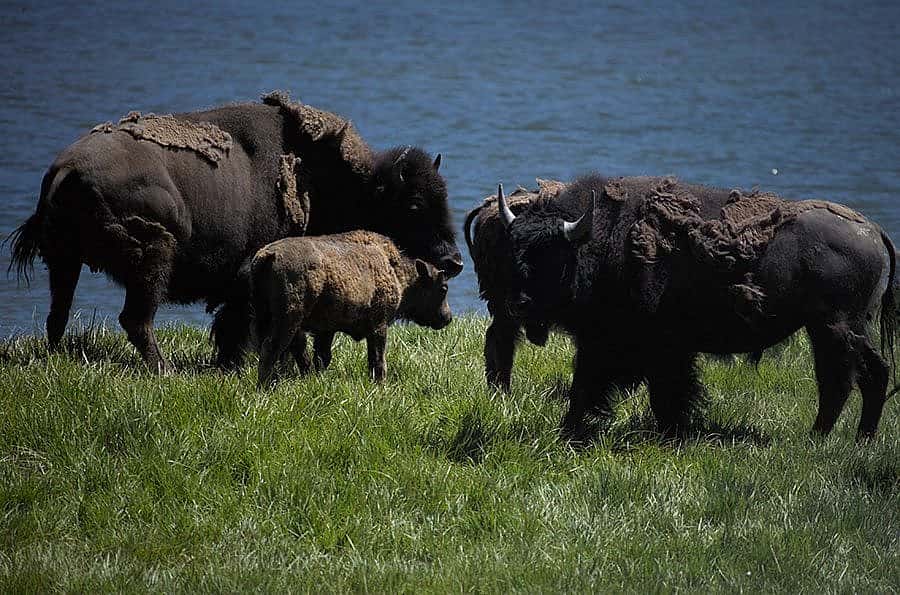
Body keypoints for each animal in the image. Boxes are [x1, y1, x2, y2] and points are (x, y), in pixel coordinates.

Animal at [9, 91, 462, 371]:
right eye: (414, 204)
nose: (454, 260)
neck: (325, 178)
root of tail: (65, 168)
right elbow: (248, 327)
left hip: (65, 261)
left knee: (57, 315)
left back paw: (56, 359)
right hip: (151, 262)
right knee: (135, 320)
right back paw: (164, 370)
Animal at [496, 174, 896, 441]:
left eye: (550, 256)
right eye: (514, 247)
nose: (517, 304)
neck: (600, 238)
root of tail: (873, 230)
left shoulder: (652, 348)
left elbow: (656, 390)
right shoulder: (613, 346)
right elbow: (595, 385)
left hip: (831, 328)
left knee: (838, 381)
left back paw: (817, 437)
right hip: (851, 328)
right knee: (874, 373)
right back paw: (861, 438)